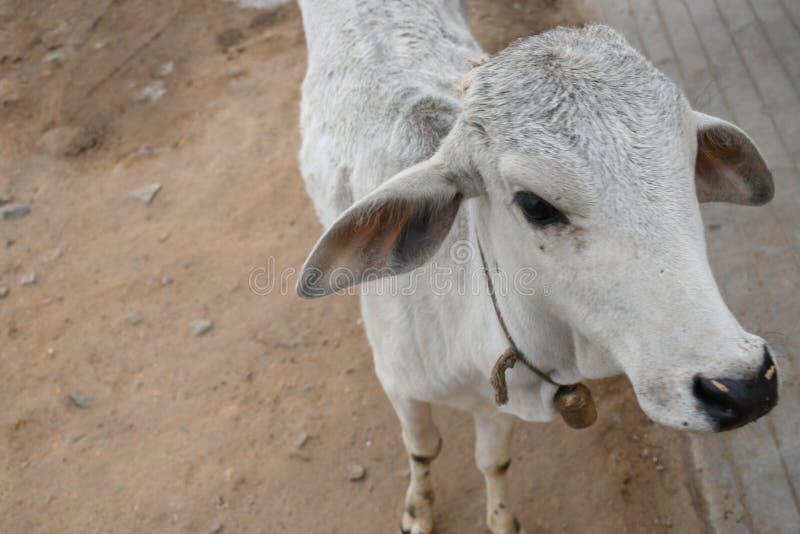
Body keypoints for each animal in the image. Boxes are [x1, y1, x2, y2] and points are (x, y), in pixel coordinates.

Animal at [295, 1, 778, 532]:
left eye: (689, 164)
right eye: (535, 205)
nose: (745, 385)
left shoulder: (498, 400)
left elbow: (493, 462)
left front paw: (501, 518)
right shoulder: (400, 387)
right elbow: (424, 449)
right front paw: (417, 511)